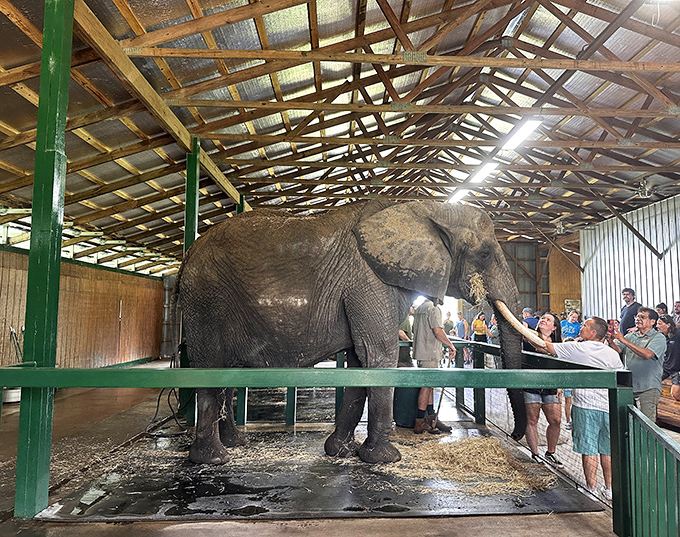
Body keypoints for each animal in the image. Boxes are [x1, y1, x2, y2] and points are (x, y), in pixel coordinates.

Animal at [176, 199, 532, 465]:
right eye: (484, 254)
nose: (515, 436)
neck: (424, 208)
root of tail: (188, 254)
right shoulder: (368, 280)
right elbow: (379, 354)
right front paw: (385, 459)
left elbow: (361, 362)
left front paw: (341, 452)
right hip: (206, 300)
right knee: (209, 369)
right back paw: (214, 458)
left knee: (225, 373)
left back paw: (236, 443)